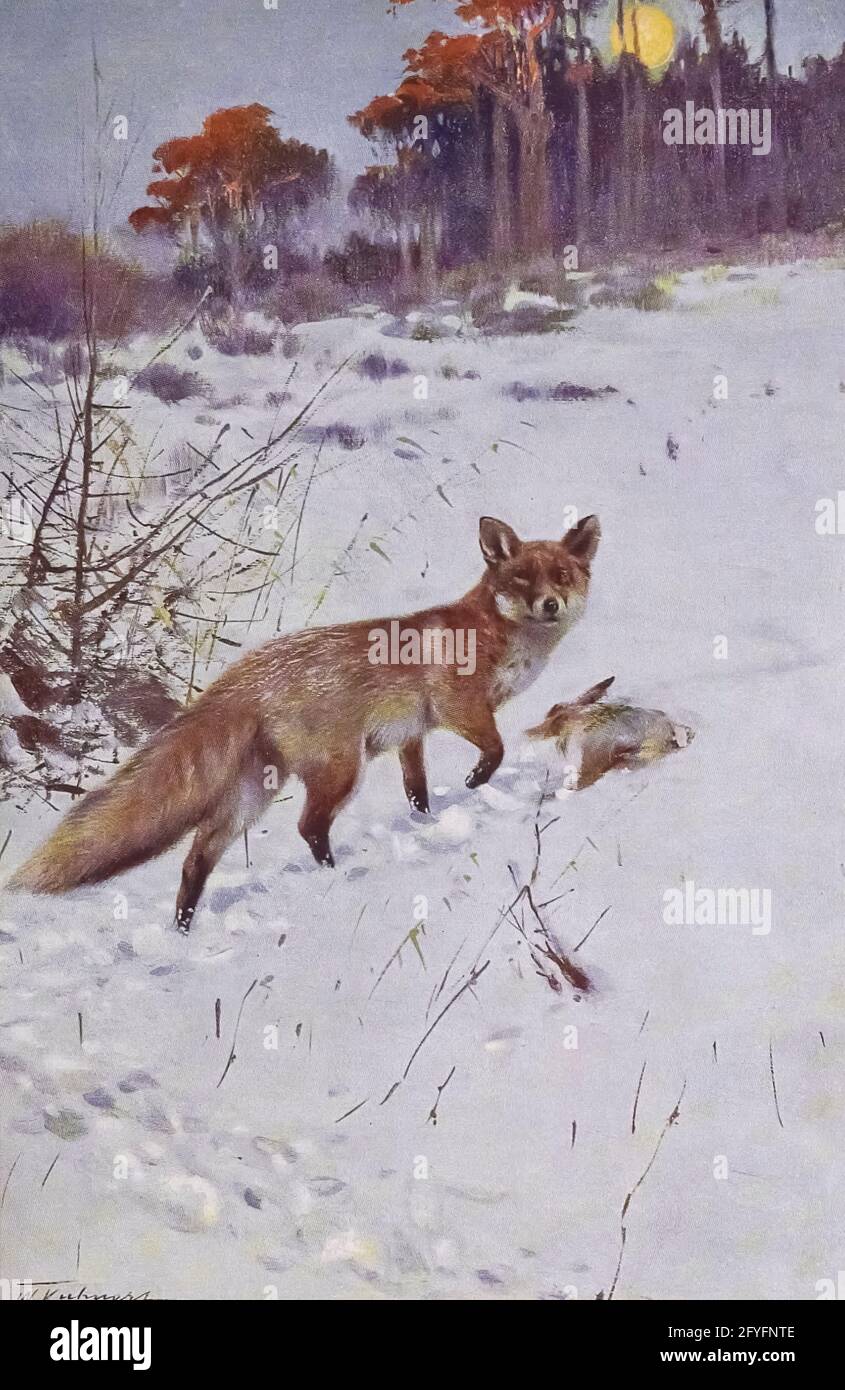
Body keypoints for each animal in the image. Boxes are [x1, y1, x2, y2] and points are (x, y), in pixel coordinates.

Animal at [7, 513, 600, 930]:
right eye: (521, 579)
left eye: (562, 576)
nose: (550, 604)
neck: (499, 639)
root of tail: (244, 673)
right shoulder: (460, 708)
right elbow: (494, 750)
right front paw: (476, 783)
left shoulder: (411, 736)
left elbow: (417, 791)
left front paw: (426, 821)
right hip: (339, 771)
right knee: (307, 827)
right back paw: (331, 877)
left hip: (253, 792)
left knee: (197, 857)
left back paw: (183, 929)